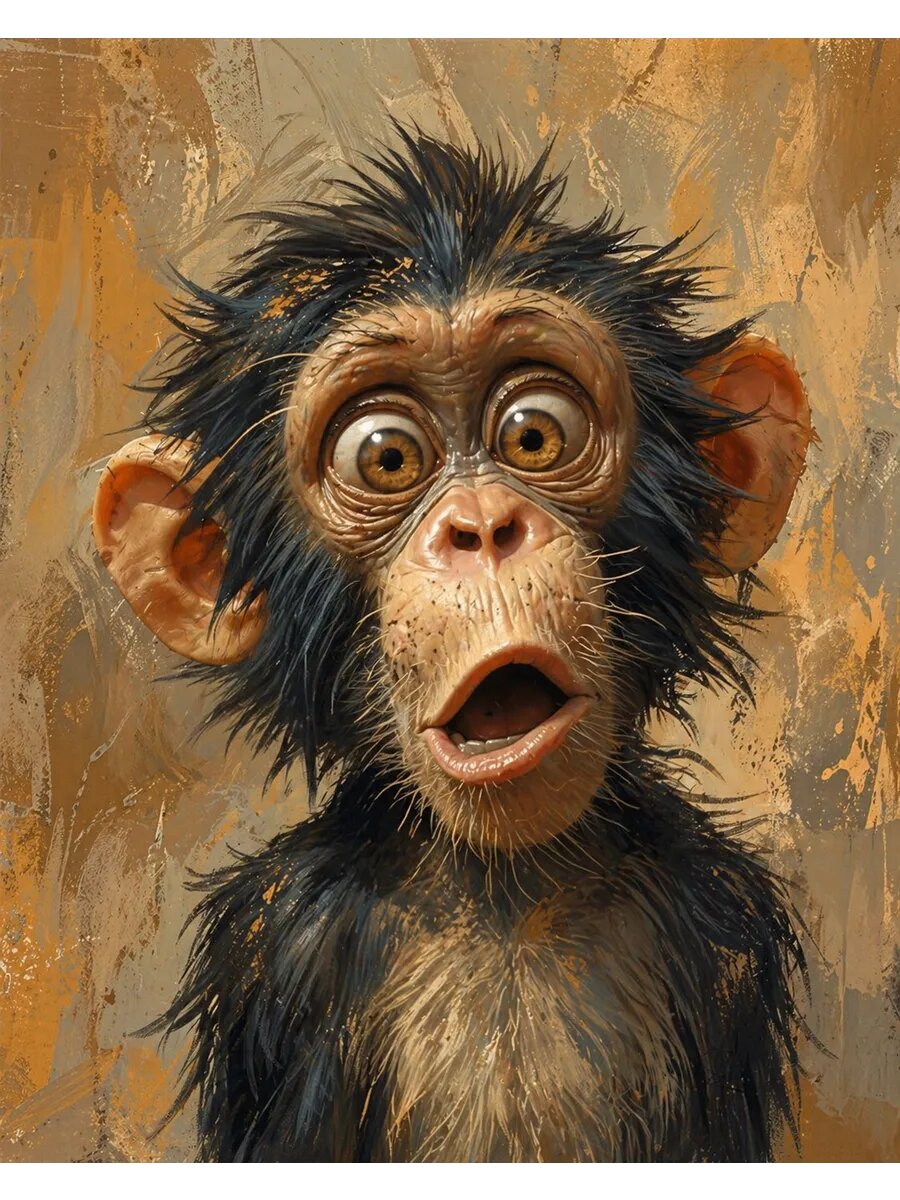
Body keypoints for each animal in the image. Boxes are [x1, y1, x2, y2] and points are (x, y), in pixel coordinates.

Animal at [92, 130, 813, 1162]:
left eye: (535, 434)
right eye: (386, 456)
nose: (481, 528)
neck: (507, 897)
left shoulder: (724, 935)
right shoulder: (275, 950)